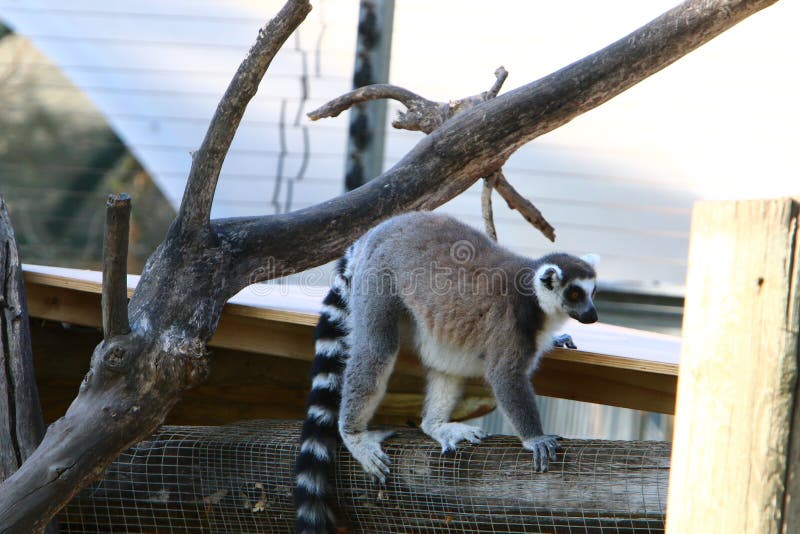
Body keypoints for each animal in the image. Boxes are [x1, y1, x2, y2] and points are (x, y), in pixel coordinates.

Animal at [294, 211, 598, 533]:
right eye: (575, 293)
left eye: (593, 292)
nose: (593, 315)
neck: (535, 300)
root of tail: (383, 227)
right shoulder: (511, 325)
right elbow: (506, 377)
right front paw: (536, 439)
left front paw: (557, 339)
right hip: (379, 277)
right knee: (377, 348)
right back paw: (353, 434)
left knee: (447, 363)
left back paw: (435, 424)